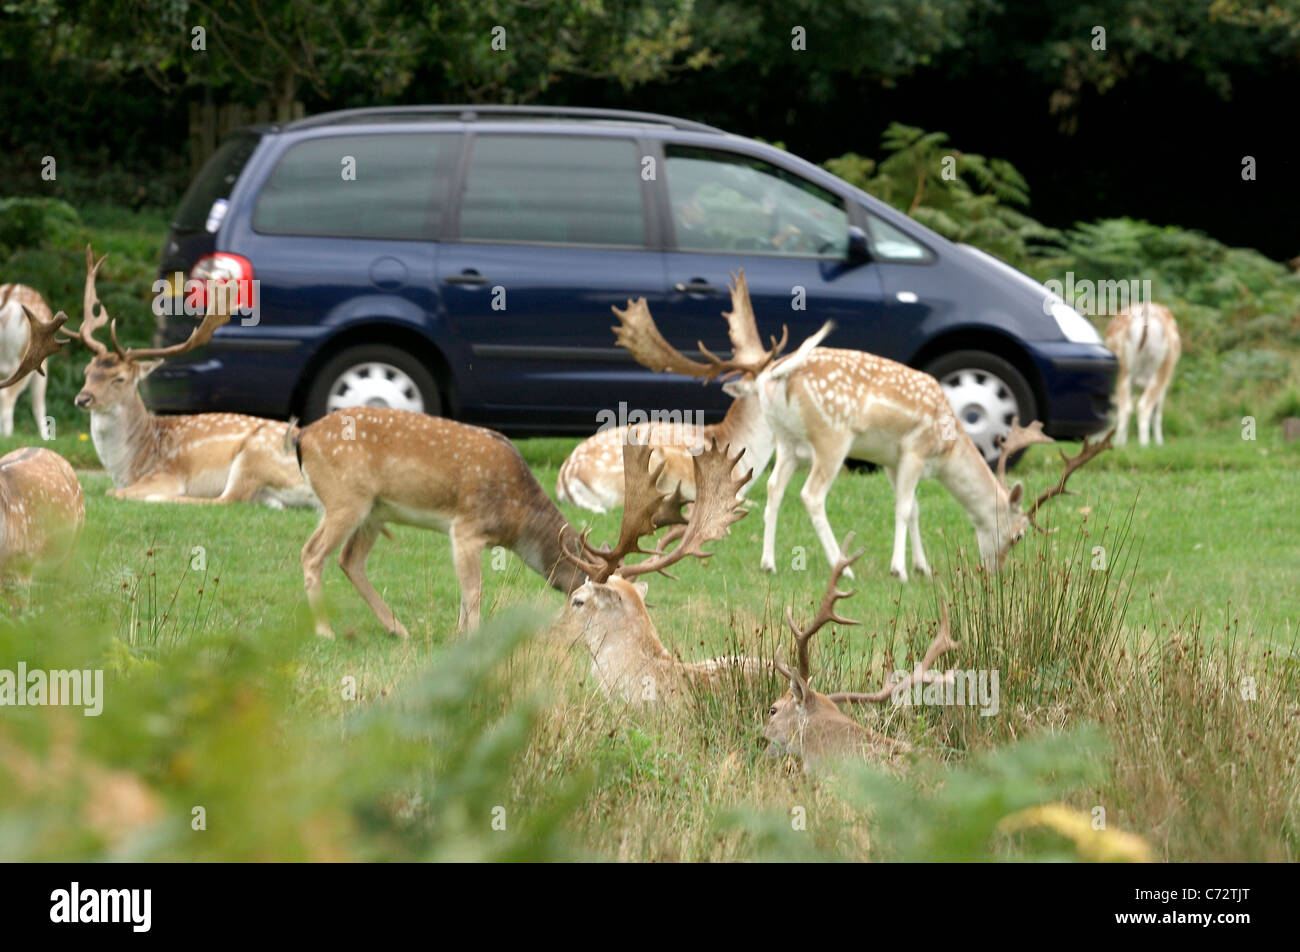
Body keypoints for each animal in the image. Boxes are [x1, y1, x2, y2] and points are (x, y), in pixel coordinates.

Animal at [0, 284, 57, 437]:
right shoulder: (43, 363)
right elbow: (39, 404)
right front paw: (45, 437)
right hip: (24, 357)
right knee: (6, 396)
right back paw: (8, 435)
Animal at [49, 246, 313, 507]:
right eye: (87, 371)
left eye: (119, 378)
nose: (83, 398)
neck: (129, 466)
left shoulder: (165, 474)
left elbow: (111, 492)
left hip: (253, 455)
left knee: (225, 500)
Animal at [291, 407, 591, 638]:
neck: (516, 518)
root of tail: (302, 436)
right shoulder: (467, 528)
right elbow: (473, 590)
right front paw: (472, 638)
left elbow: (465, 591)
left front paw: (459, 634)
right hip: (345, 498)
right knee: (312, 553)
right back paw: (325, 631)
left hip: (372, 513)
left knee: (349, 560)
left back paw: (398, 629)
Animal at [1104, 302, 1181, 447]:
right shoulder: (1165, 384)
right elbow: (1157, 412)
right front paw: (1159, 443)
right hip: (1162, 369)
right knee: (1144, 406)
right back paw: (1144, 445)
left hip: (1123, 369)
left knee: (1126, 407)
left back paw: (1119, 445)